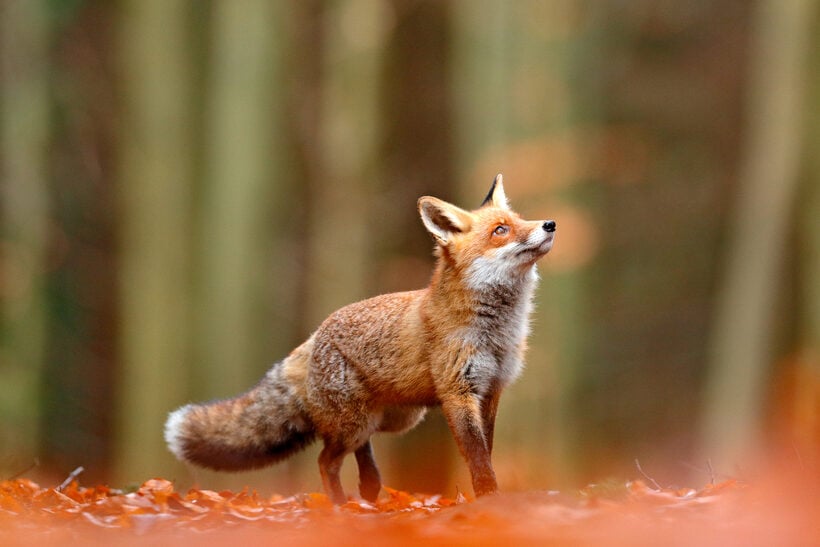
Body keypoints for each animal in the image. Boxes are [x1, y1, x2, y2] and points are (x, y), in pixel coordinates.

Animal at [164, 174, 556, 504]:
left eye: (520, 220)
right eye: (500, 230)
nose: (549, 224)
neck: (497, 332)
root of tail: (313, 336)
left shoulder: (491, 390)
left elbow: (486, 451)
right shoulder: (458, 392)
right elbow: (477, 458)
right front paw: (489, 500)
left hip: (393, 418)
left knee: (360, 453)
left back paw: (369, 491)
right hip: (356, 423)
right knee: (326, 460)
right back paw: (340, 507)